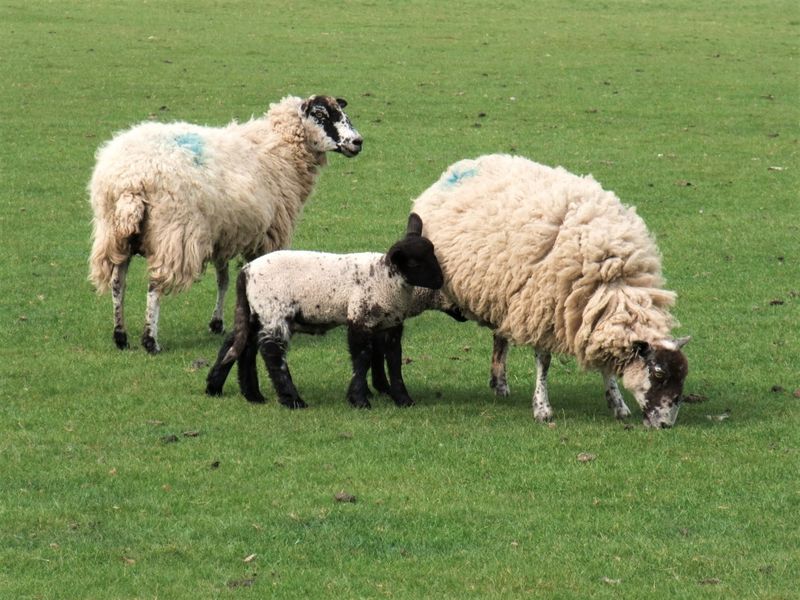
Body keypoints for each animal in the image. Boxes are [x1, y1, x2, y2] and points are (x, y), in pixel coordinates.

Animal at [88, 94, 362, 354]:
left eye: (341, 111)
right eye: (320, 114)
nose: (357, 141)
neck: (279, 146)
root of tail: (130, 180)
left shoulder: (223, 234)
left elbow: (224, 280)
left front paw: (217, 323)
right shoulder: (267, 236)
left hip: (115, 235)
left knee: (117, 283)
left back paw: (120, 336)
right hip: (172, 234)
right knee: (154, 286)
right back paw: (150, 341)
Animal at [205, 213, 451, 409]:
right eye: (416, 263)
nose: (441, 280)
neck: (384, 278)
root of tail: (246, 271)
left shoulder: (391, 324)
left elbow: (394, 361)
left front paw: (402, 399)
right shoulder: (359, 318)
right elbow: (362, 358)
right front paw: (359, 400)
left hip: (255, 311)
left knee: (240, 345)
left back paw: (239, 392)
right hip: (274, 311)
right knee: (271, 353)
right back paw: (292, 400)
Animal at [411, 154, 691, 428]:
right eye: (658, 373)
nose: (666, 425)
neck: (614, 281)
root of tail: (463, 164)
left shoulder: (590, 316)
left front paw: (618, 404)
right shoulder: (542, 308)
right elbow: (543, 362)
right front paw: (542, 409)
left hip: (501, 297)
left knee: (500, 337)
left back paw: (499, 382)